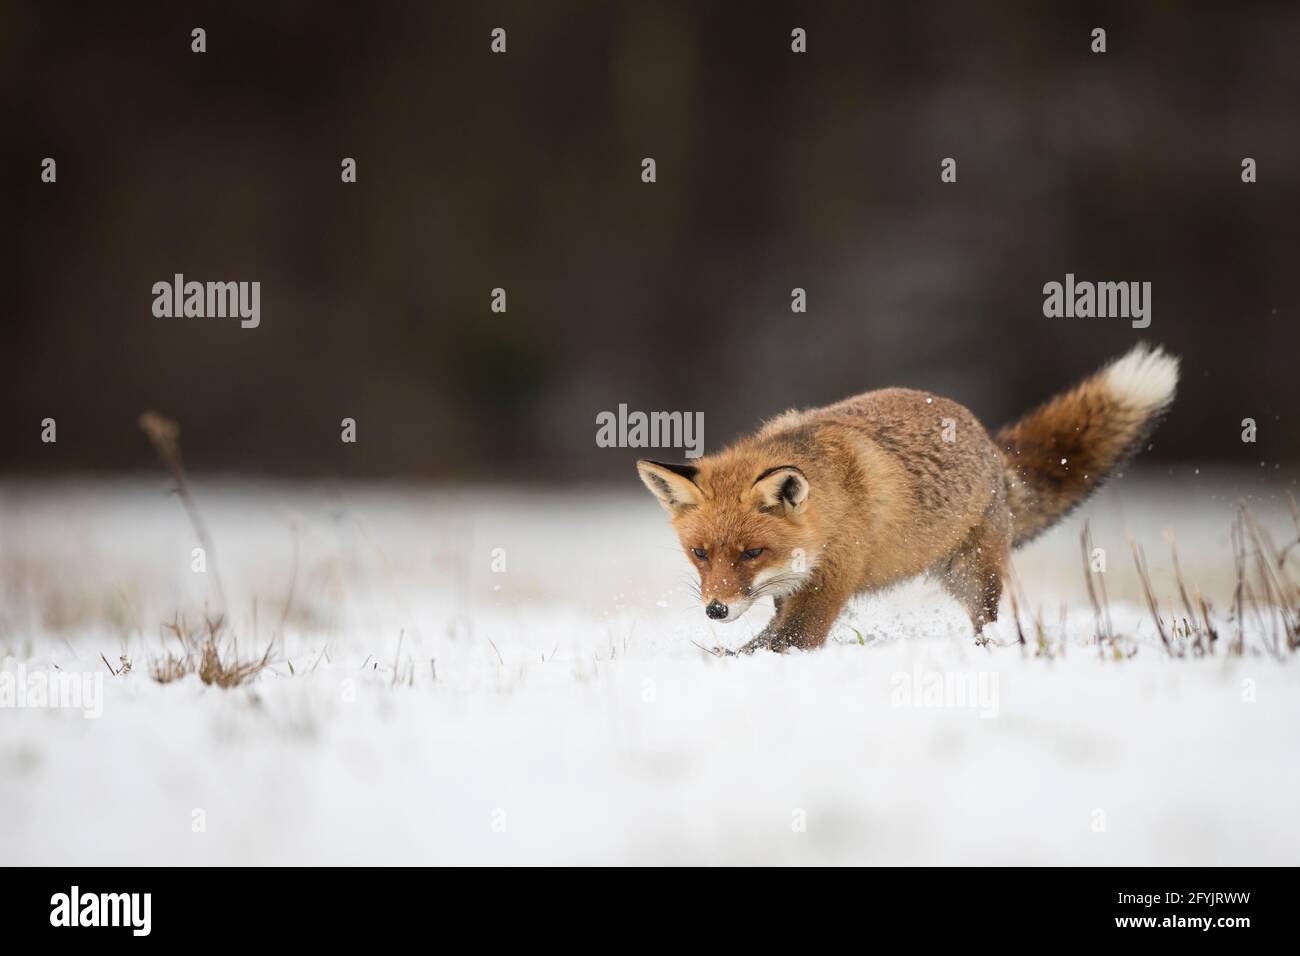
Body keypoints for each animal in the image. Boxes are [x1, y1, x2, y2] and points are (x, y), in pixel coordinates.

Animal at [637, 343, 1179, 654]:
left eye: (752, 553)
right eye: (699, 553)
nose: (715, 610)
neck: (830, 506)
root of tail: (984, 437)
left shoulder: (827, 587)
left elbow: (783, 644)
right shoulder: (788, 593)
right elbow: (768, 636)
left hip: (974, 574)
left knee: (989, 620)